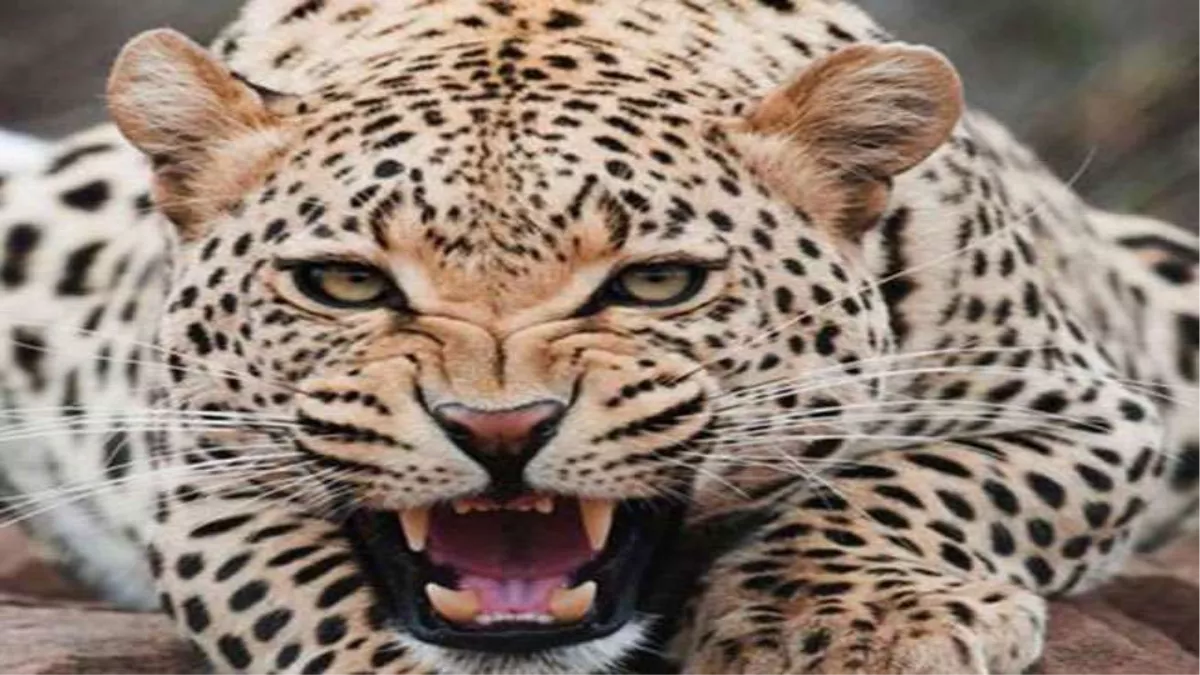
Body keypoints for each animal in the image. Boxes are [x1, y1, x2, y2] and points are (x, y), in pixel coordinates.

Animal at [1, 0, 1198, 673]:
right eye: (344, 283)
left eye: (657, 282)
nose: (499, 431)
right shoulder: (199, 485)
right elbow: (310, 618)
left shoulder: (1089, 412)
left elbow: (912, 482)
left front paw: (845, 624)